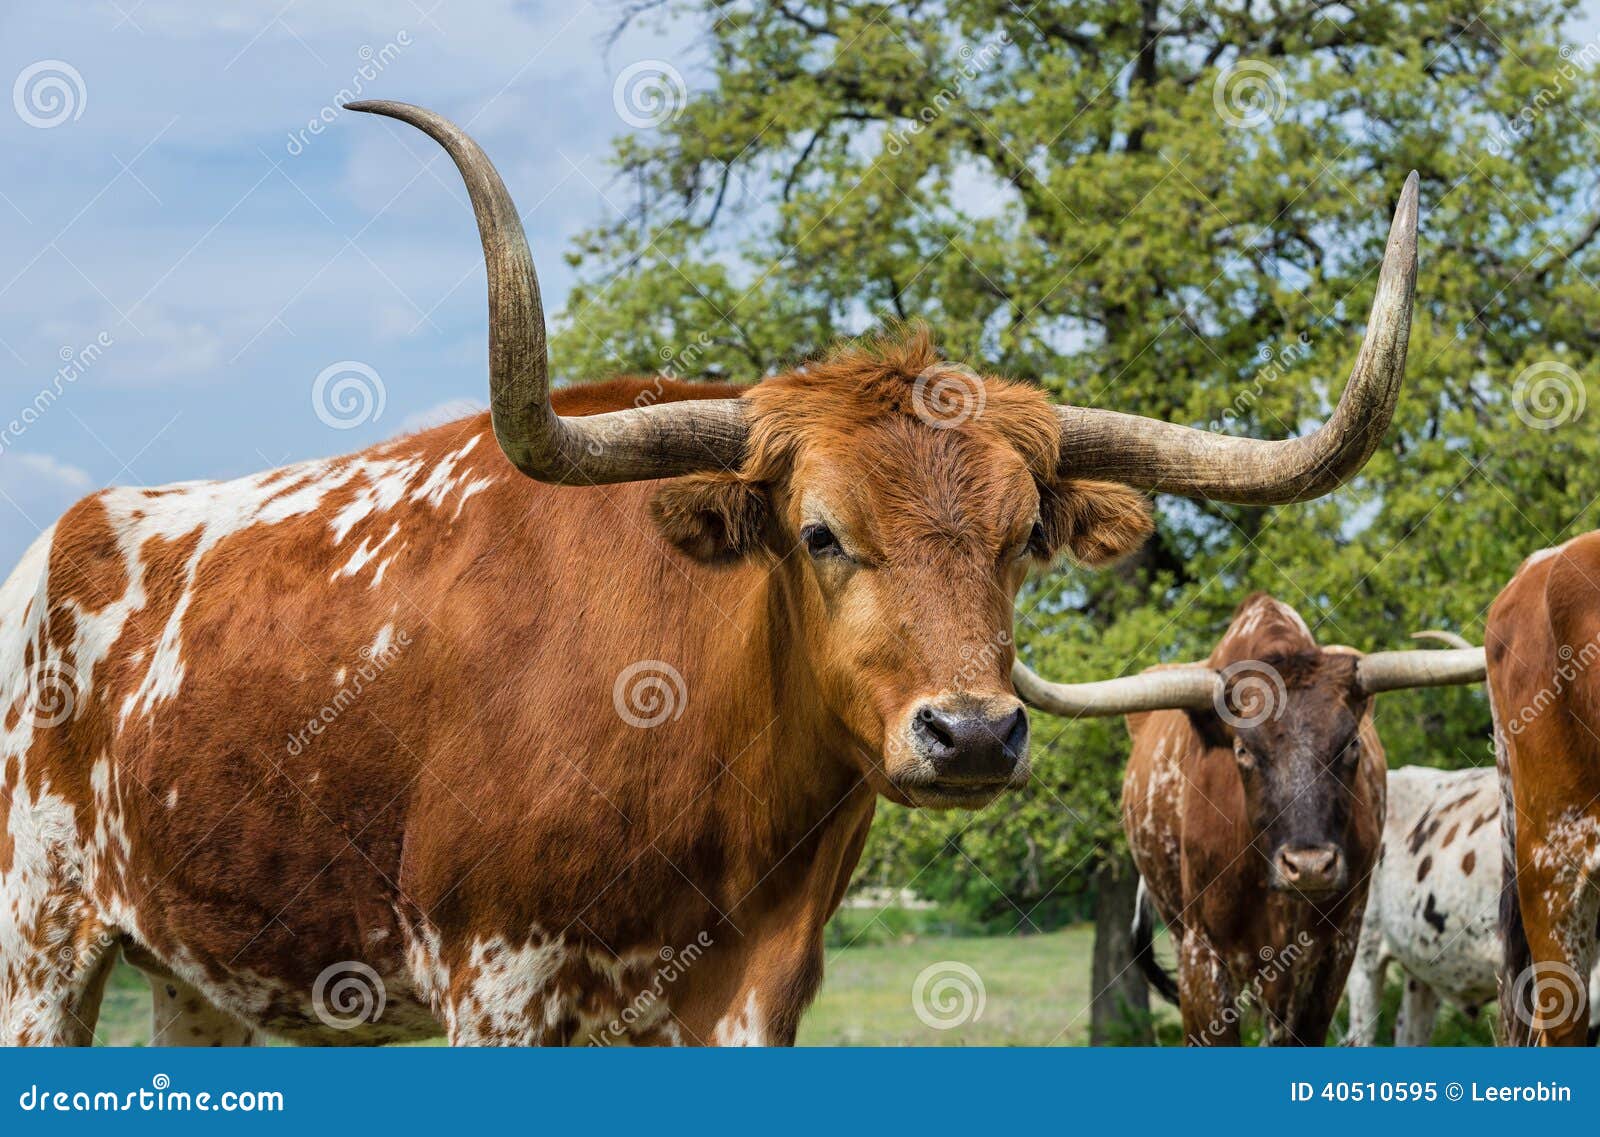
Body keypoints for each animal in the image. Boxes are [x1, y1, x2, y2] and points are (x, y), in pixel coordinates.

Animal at [0, 100, 1422, 1046]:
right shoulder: (495, 986)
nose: (971, 736)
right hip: (41, 942)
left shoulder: (755, 992)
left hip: (203, 977)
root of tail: (64, 536)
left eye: (1026, 537)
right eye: (820, 533)